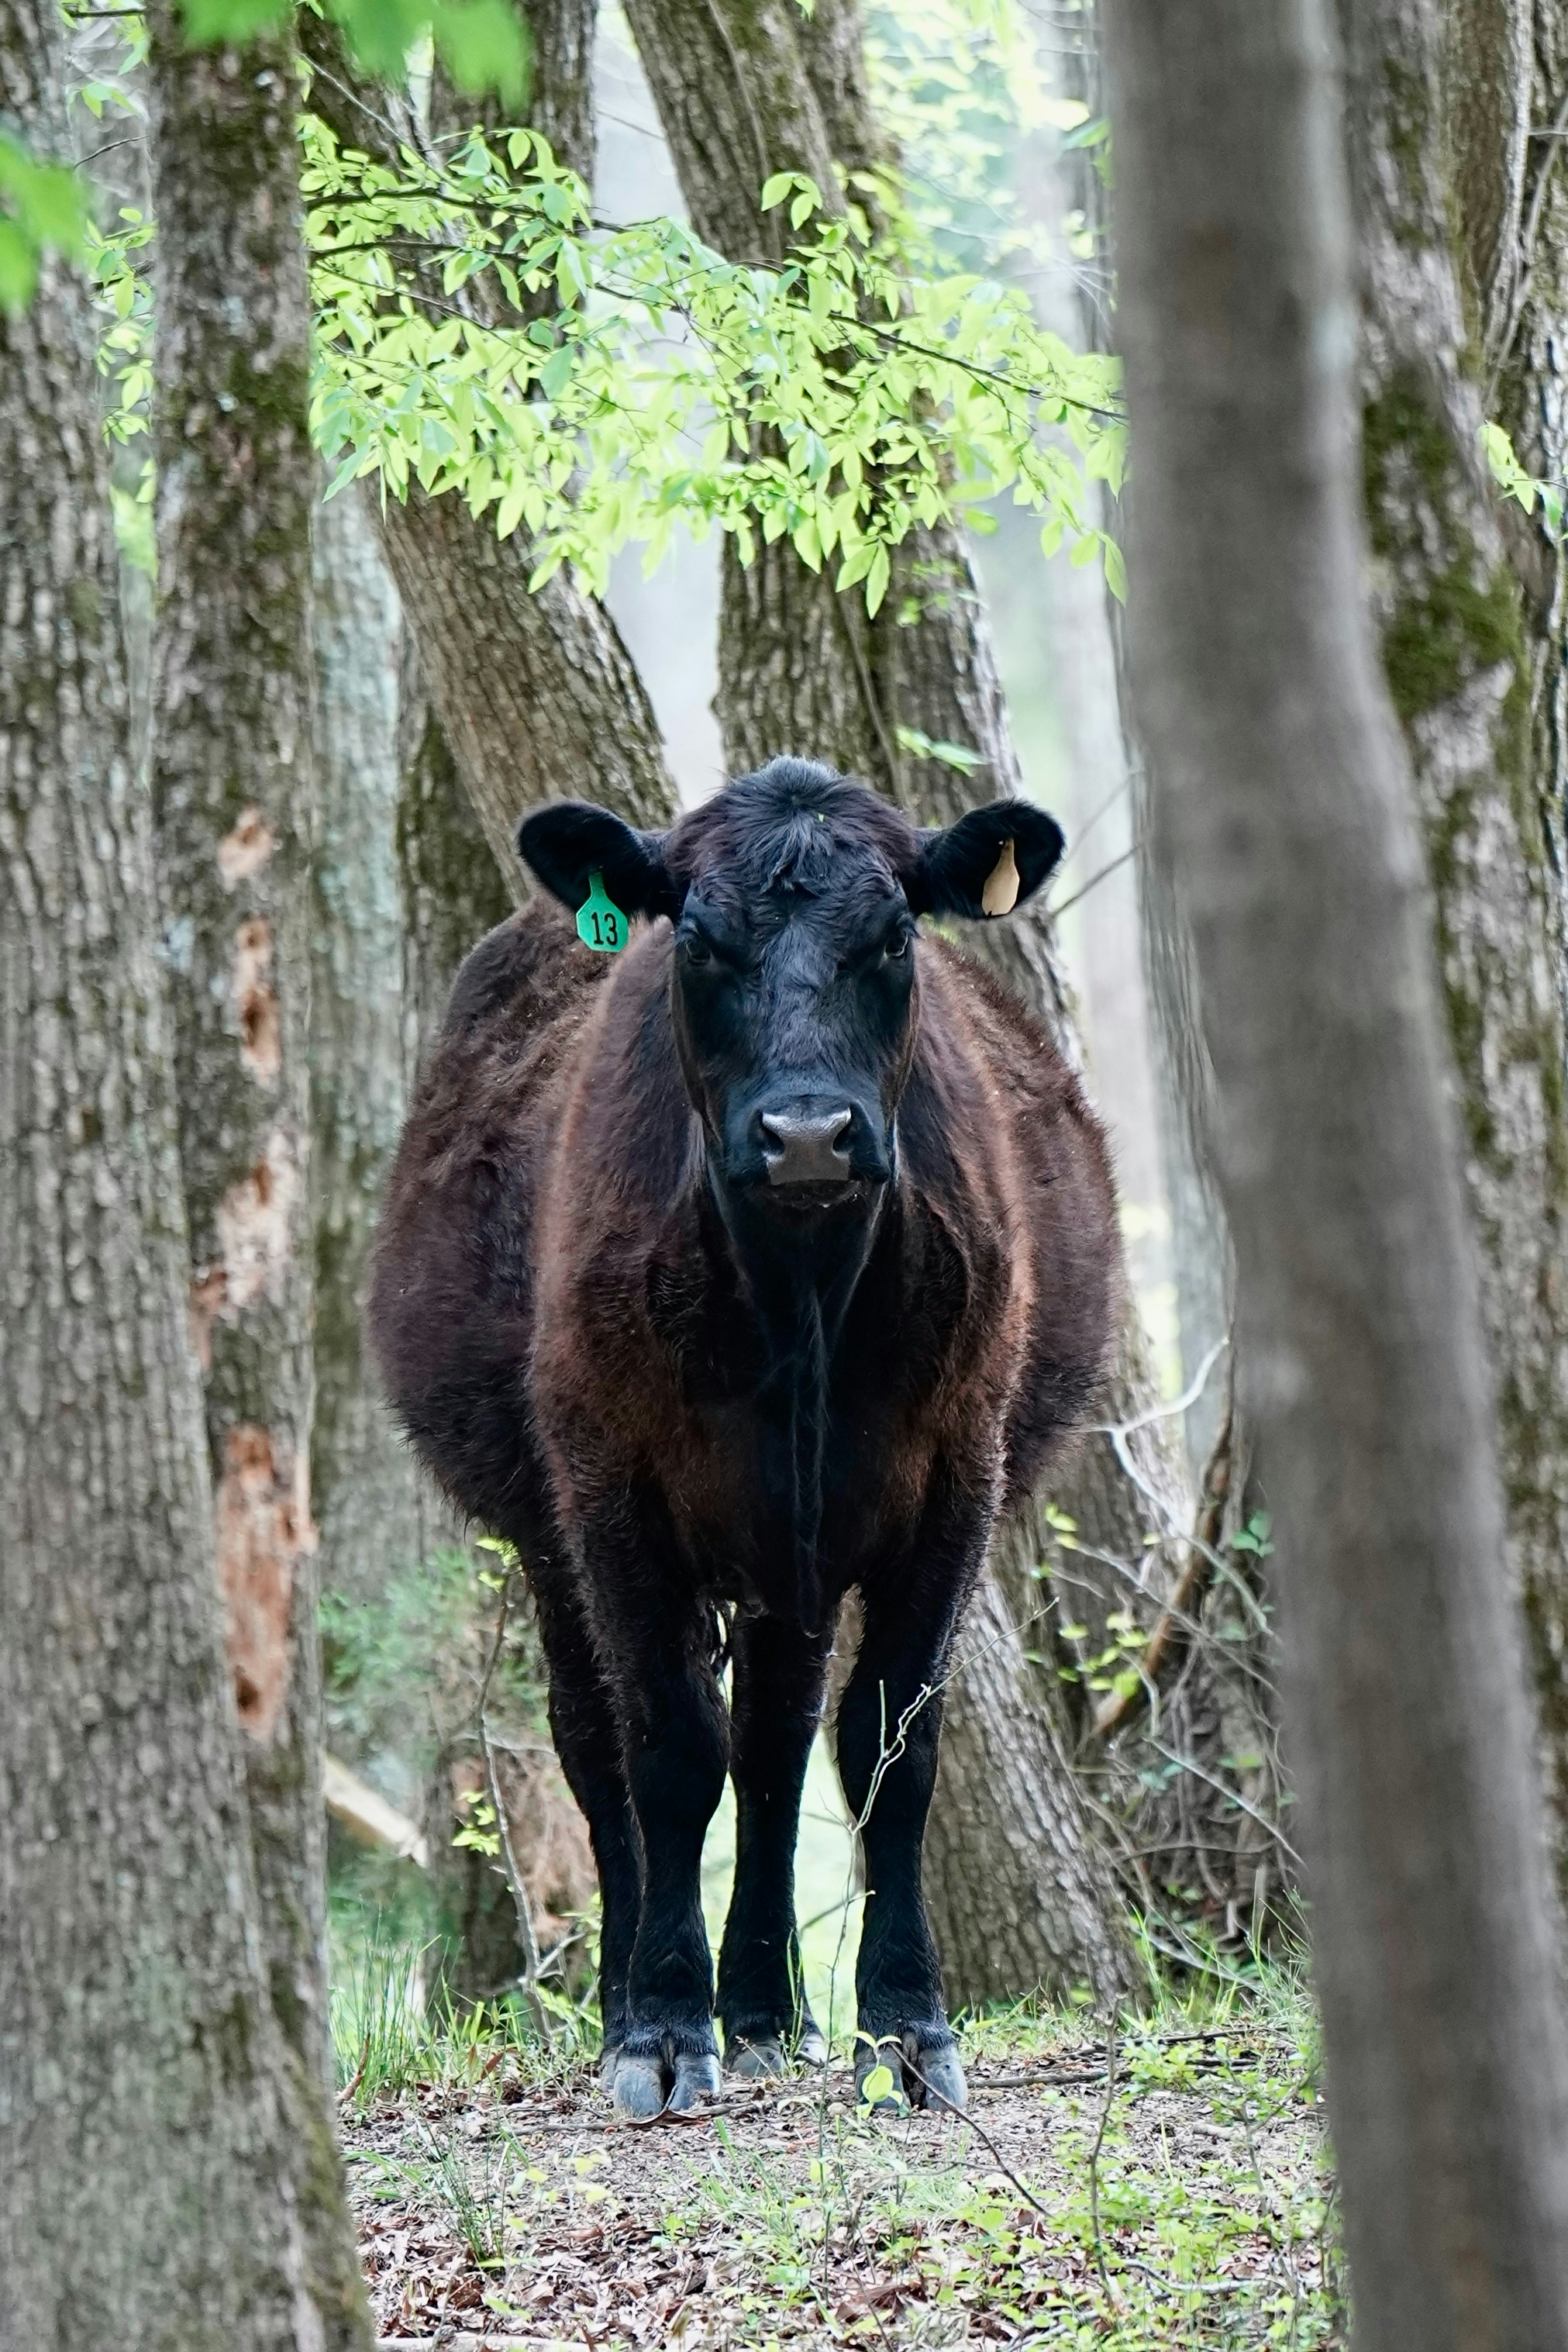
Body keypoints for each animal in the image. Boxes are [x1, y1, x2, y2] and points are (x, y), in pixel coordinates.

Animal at [369, 756, 1120, 2119]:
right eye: (698, 941)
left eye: (893, 936)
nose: (809, 1133)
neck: (801, 1297)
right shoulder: (611, 1488)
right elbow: (668, 1747)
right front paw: (664, 2027)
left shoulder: (954, 1479)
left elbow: (886, 1745)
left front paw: (904, 2022)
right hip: (554, 1535)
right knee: (595, 1743)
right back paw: (633, 1996)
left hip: (795, 1560)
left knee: (775, 1743)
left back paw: (769, 2009)